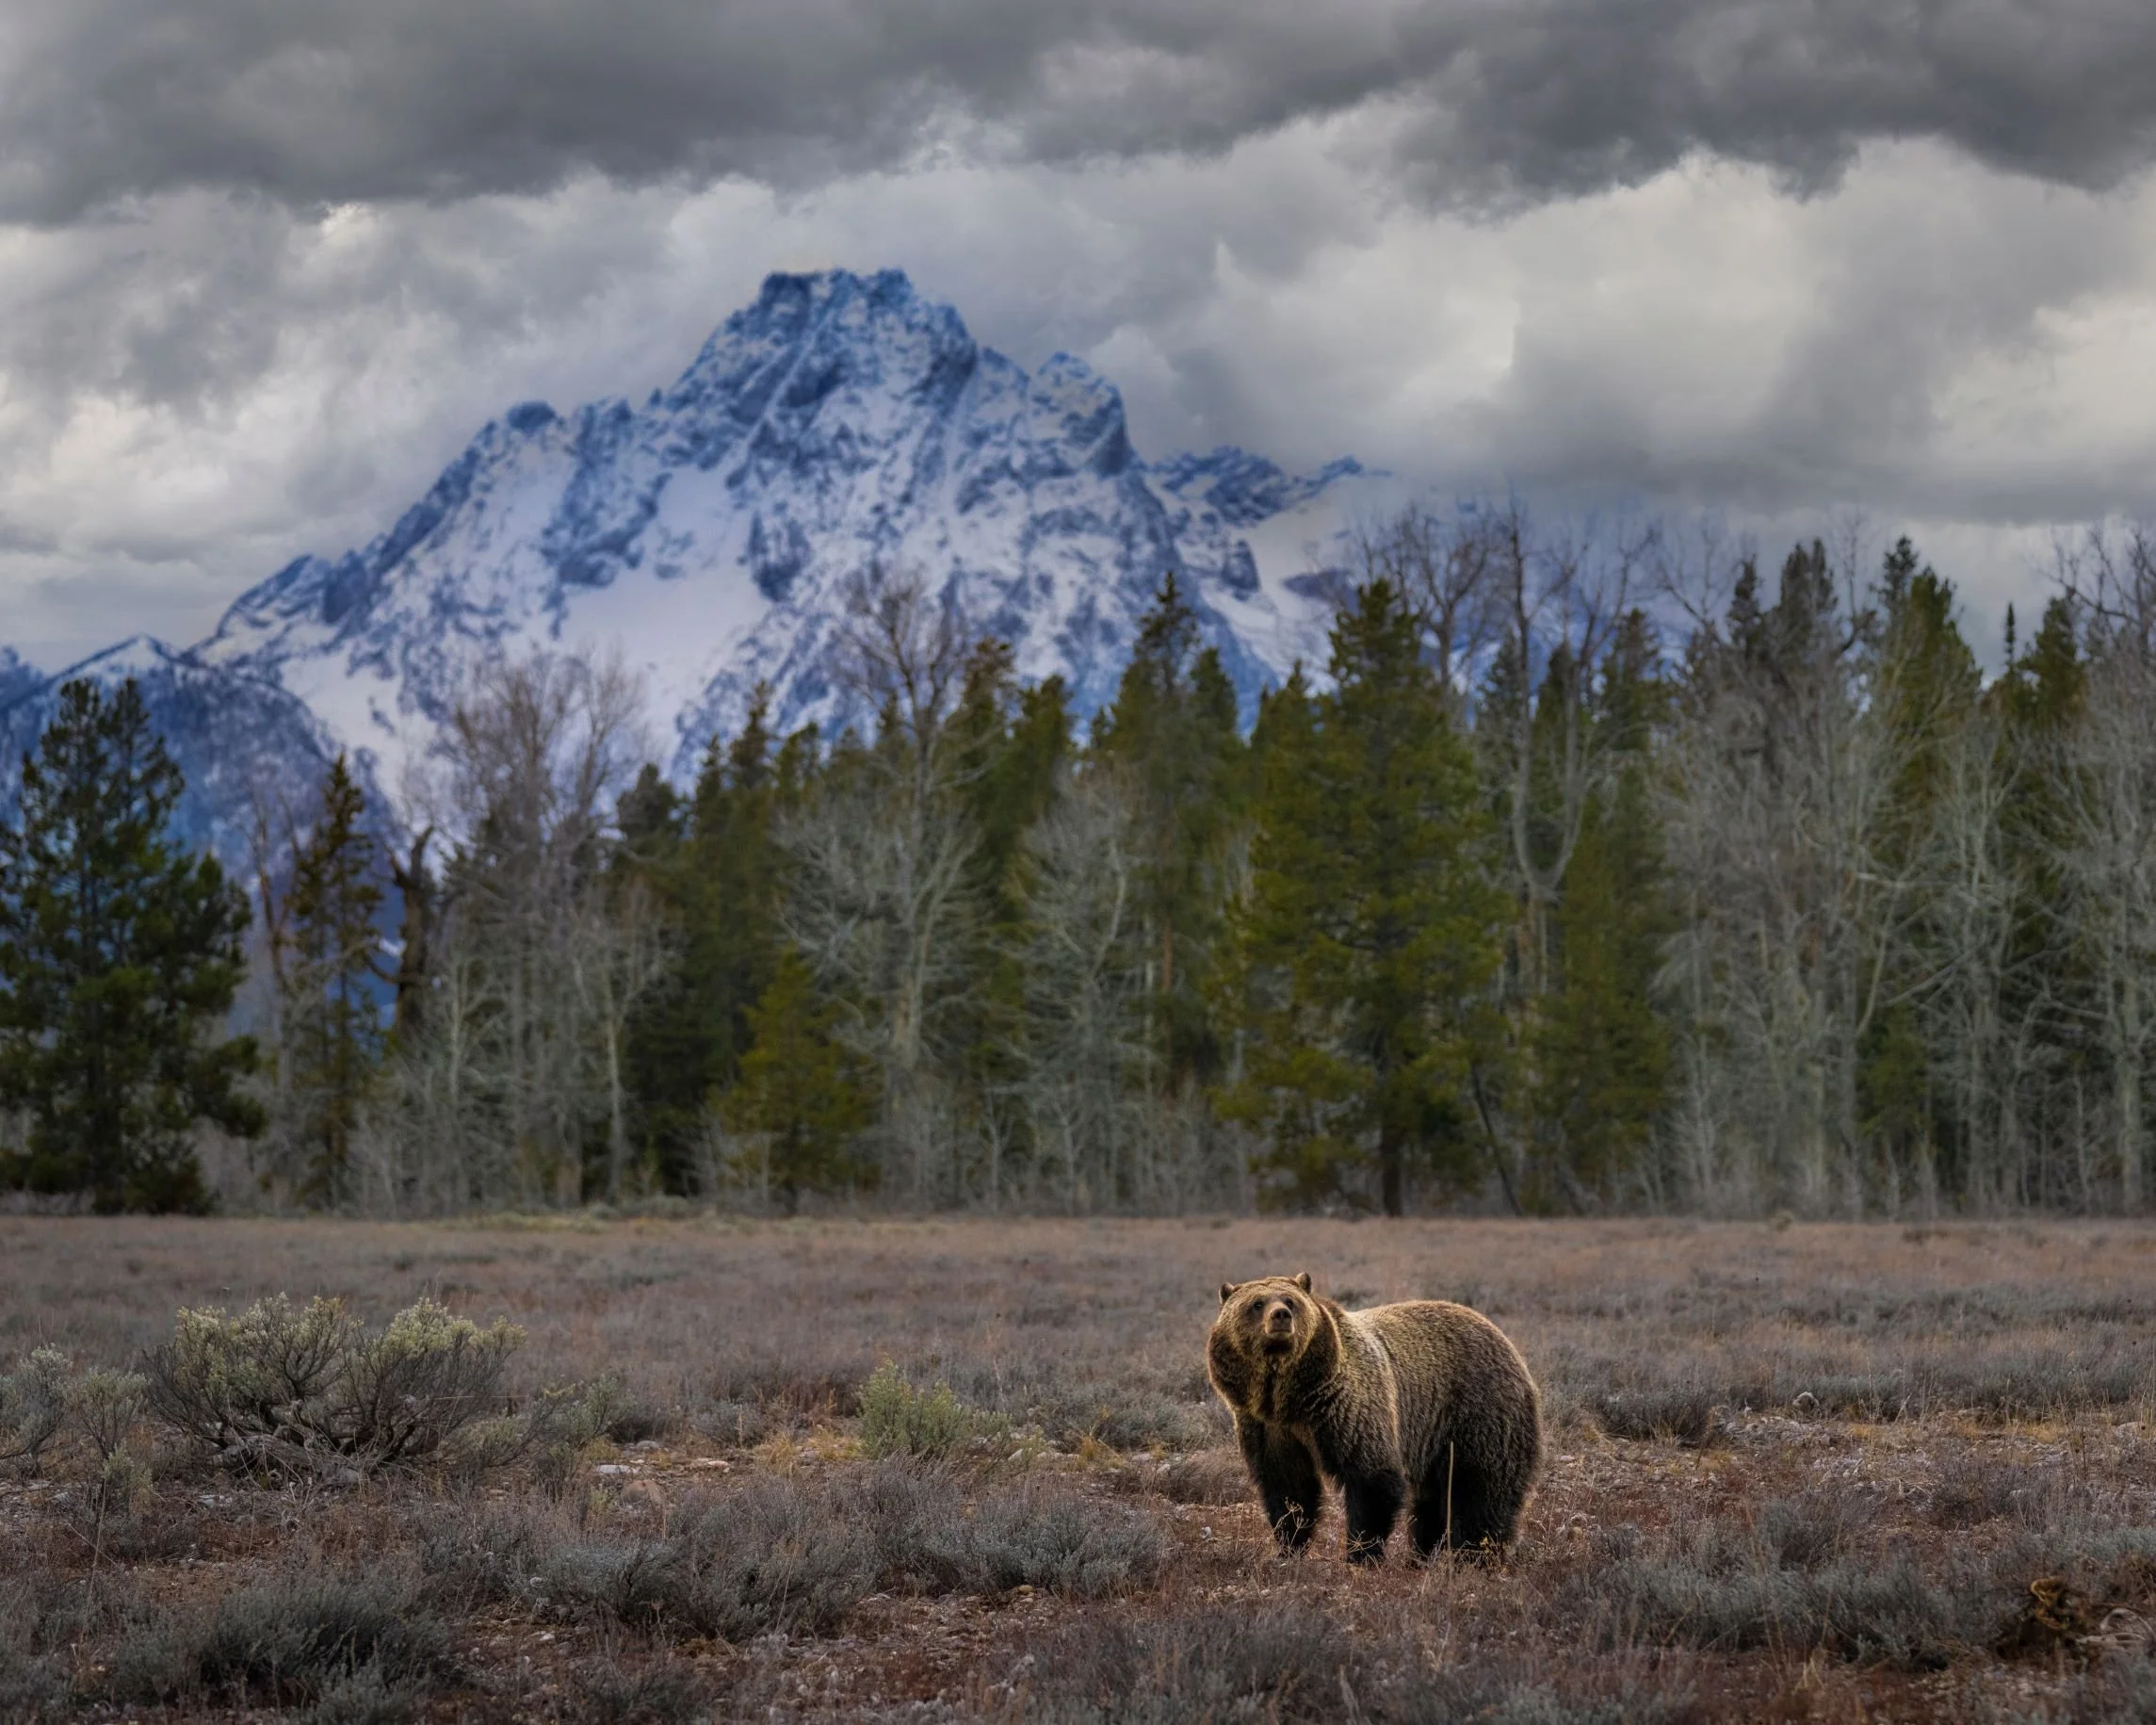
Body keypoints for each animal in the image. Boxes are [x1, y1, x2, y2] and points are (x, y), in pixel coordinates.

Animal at [1207, 1271, 1543, 1564]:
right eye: (1257, 1303)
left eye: (1290, 1300)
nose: (1280, 1316)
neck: (1287, 1397)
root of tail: (1503, 1338)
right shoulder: (1267, 1426)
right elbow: (1289, 1486)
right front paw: (1287, 1547)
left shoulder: (1347, 1406)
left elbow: (1372, 1477)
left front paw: (1360, 1554)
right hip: (1434, 1436)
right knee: (1432, 1498)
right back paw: (1422, 1555)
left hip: (1479, 1412)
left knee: (1482, 1490)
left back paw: (1476, 1555)